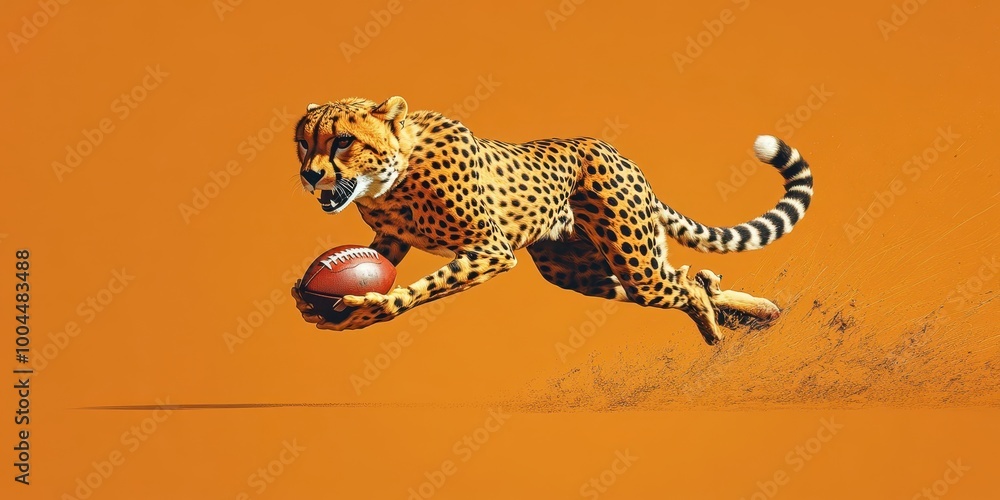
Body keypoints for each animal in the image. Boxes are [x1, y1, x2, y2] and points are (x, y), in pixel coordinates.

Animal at [290, 96, 814, 344]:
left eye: (342, 141)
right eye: (303, 142)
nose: (309, 175)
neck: (394, 176)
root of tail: (611, 149)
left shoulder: (491, 250)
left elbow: (422, 287)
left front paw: (368, 308)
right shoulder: (390, 239)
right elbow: (381, 257)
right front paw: (311, 298)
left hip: (632, 262)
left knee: (681, 285)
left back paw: (717, 324)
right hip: (578, 271)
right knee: (688, 278)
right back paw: (753, 311)